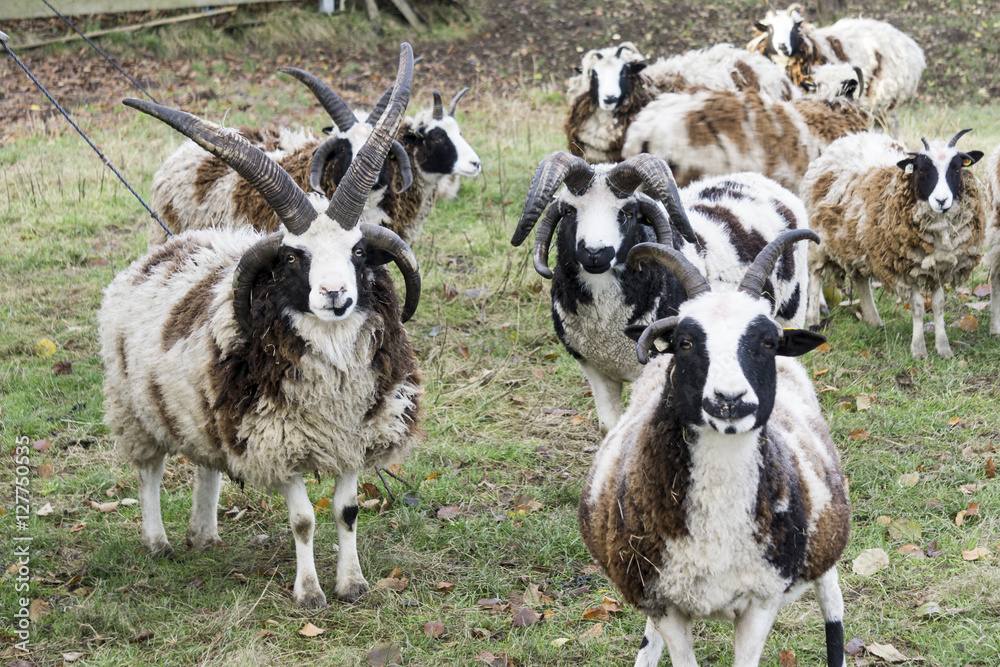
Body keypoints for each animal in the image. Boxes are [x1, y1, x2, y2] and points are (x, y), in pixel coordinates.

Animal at [511, 151, 810, 434]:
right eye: (570, 211)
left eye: (626, 213)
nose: (595, 252)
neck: (607, 326)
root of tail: (760, 180)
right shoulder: (595, 368)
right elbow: (609, 427)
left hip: (791, 313)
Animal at [578, 231, 849, 667]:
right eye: (686, 342)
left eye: (767, 342)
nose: (730, 400)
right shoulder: (662, 601)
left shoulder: (761, 600)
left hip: (825, 537)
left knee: (833, 602)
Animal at [747, 5, 925, 136]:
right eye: (770, 29)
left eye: (794, 29)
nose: (782, 46)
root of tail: (913, 47)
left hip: (887, 99)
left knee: (890, 126)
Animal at [801, 129, 986, 358]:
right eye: (922, 169)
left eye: (957, 168)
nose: (941, 201)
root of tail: (852, 136)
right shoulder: (904, 268)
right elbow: (917, 306)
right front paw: (918, 349)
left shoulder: (939, 267)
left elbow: (939, 305)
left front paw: (944, 348)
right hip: (819, 239)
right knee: (816, 275)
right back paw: (814, 319)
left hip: (859, 241)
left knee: (861, 279)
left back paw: (873, 320)